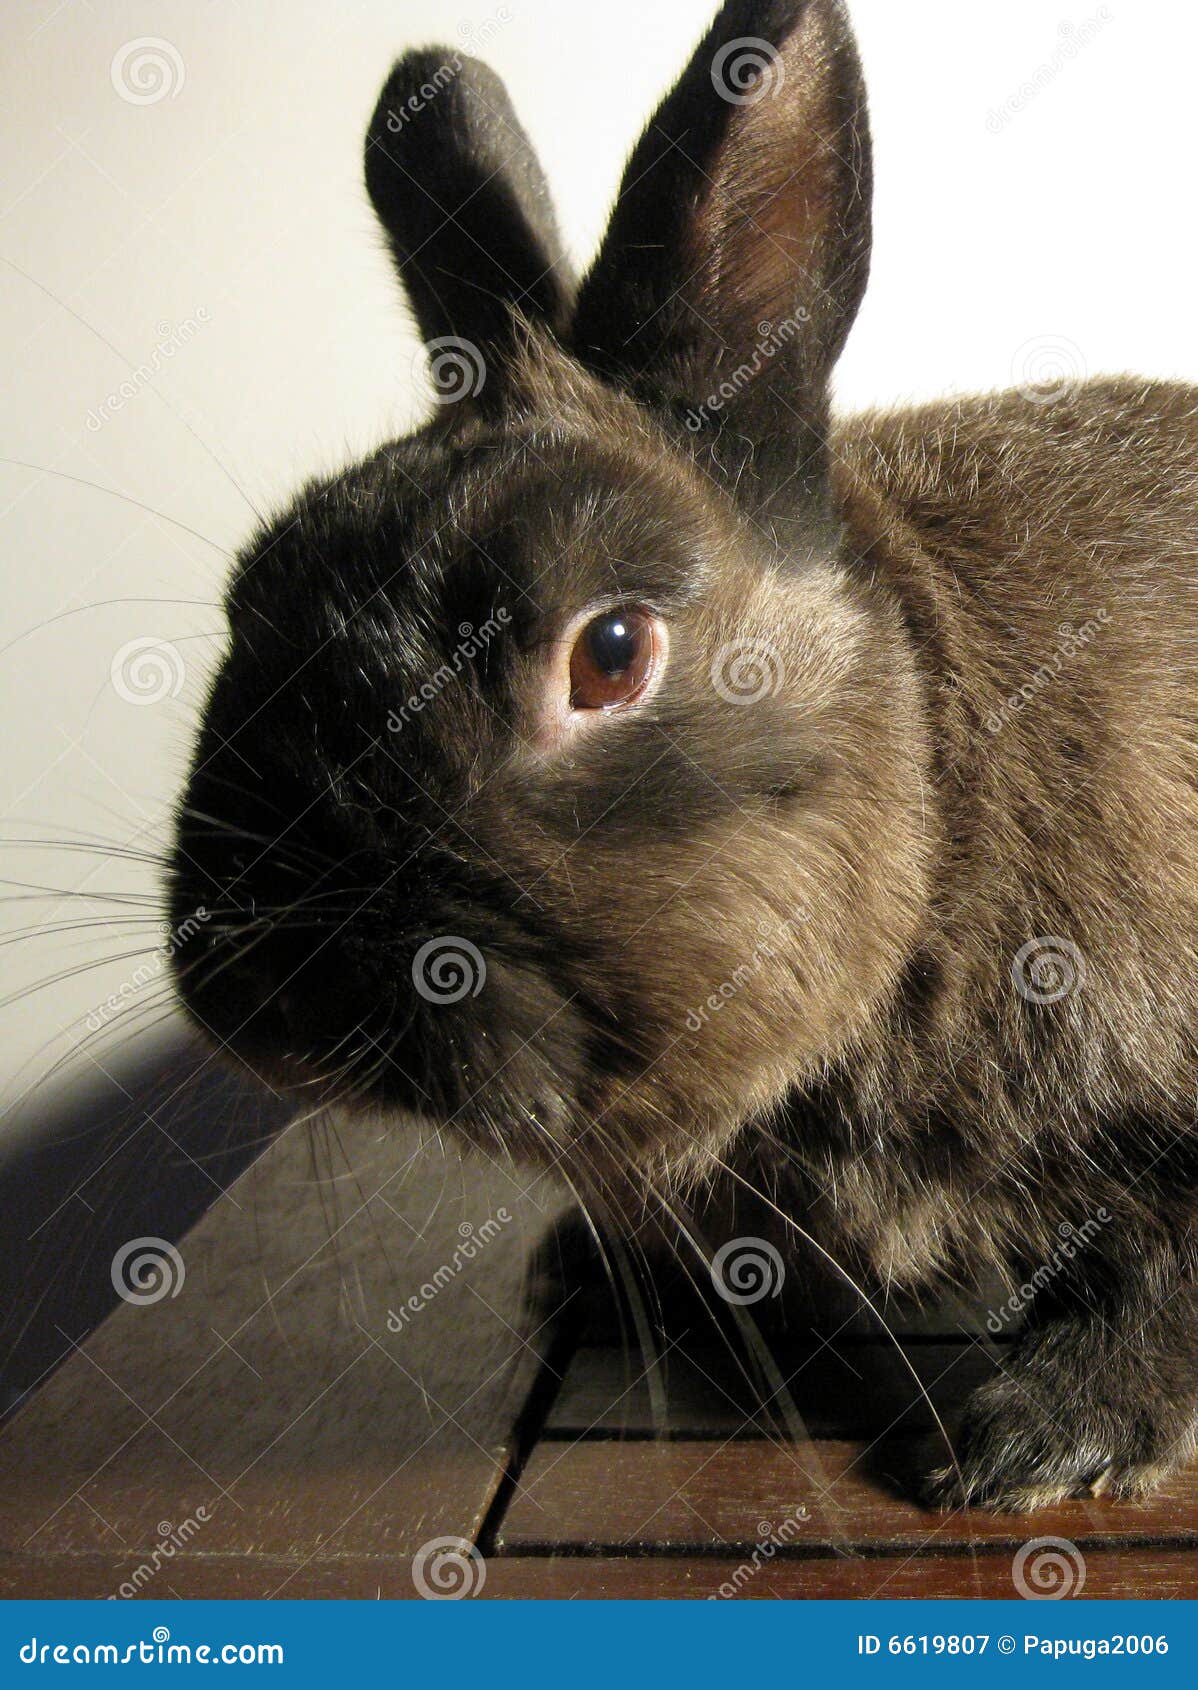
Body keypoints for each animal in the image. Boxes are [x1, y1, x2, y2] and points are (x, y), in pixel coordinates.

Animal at [168, 0, 1198, 1514]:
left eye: (607, 654)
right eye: (253, 591)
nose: (254, 987)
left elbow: (1162, 1262)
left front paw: (1034, 1440)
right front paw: (585, 1272)